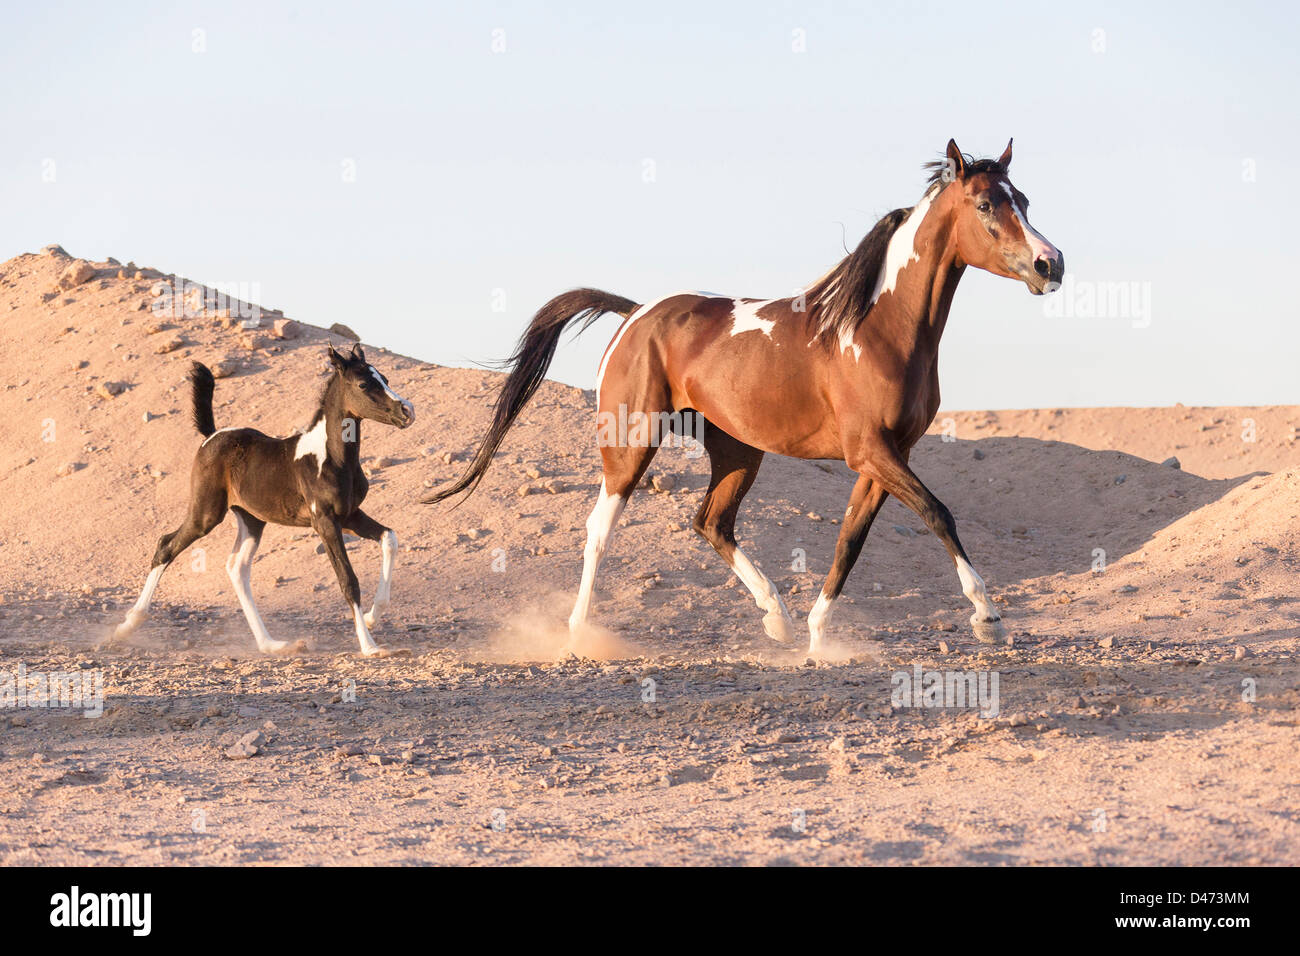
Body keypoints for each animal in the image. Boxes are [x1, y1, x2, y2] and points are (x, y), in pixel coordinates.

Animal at [112, 343, 416, 656]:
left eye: (385, 379)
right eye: (363, 384)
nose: (407, 410)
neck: (331, 458)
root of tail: (211, 436)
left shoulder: (350, 515)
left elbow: (390, 537)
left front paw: (371, 616)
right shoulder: (325, 521)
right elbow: (348, 580)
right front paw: (370, 646)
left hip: (251, 519)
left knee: (237, 568)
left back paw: (272, 644)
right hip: (205, 513)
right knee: (166, 546)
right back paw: (126, 627)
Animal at [427, 139, 1062, 655]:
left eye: (1025, 200)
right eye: (985, 205)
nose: (1050, 263)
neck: (878, 328)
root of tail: (635, 314)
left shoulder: (885, 458)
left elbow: (849, 541)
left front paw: (817, 638)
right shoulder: (871, 452)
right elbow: (938, 513)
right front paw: (989, 619)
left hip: (738, 451)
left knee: (711, 522)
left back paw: (776, 618)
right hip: (631, 442)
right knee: (600, 531)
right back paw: (579, 635)